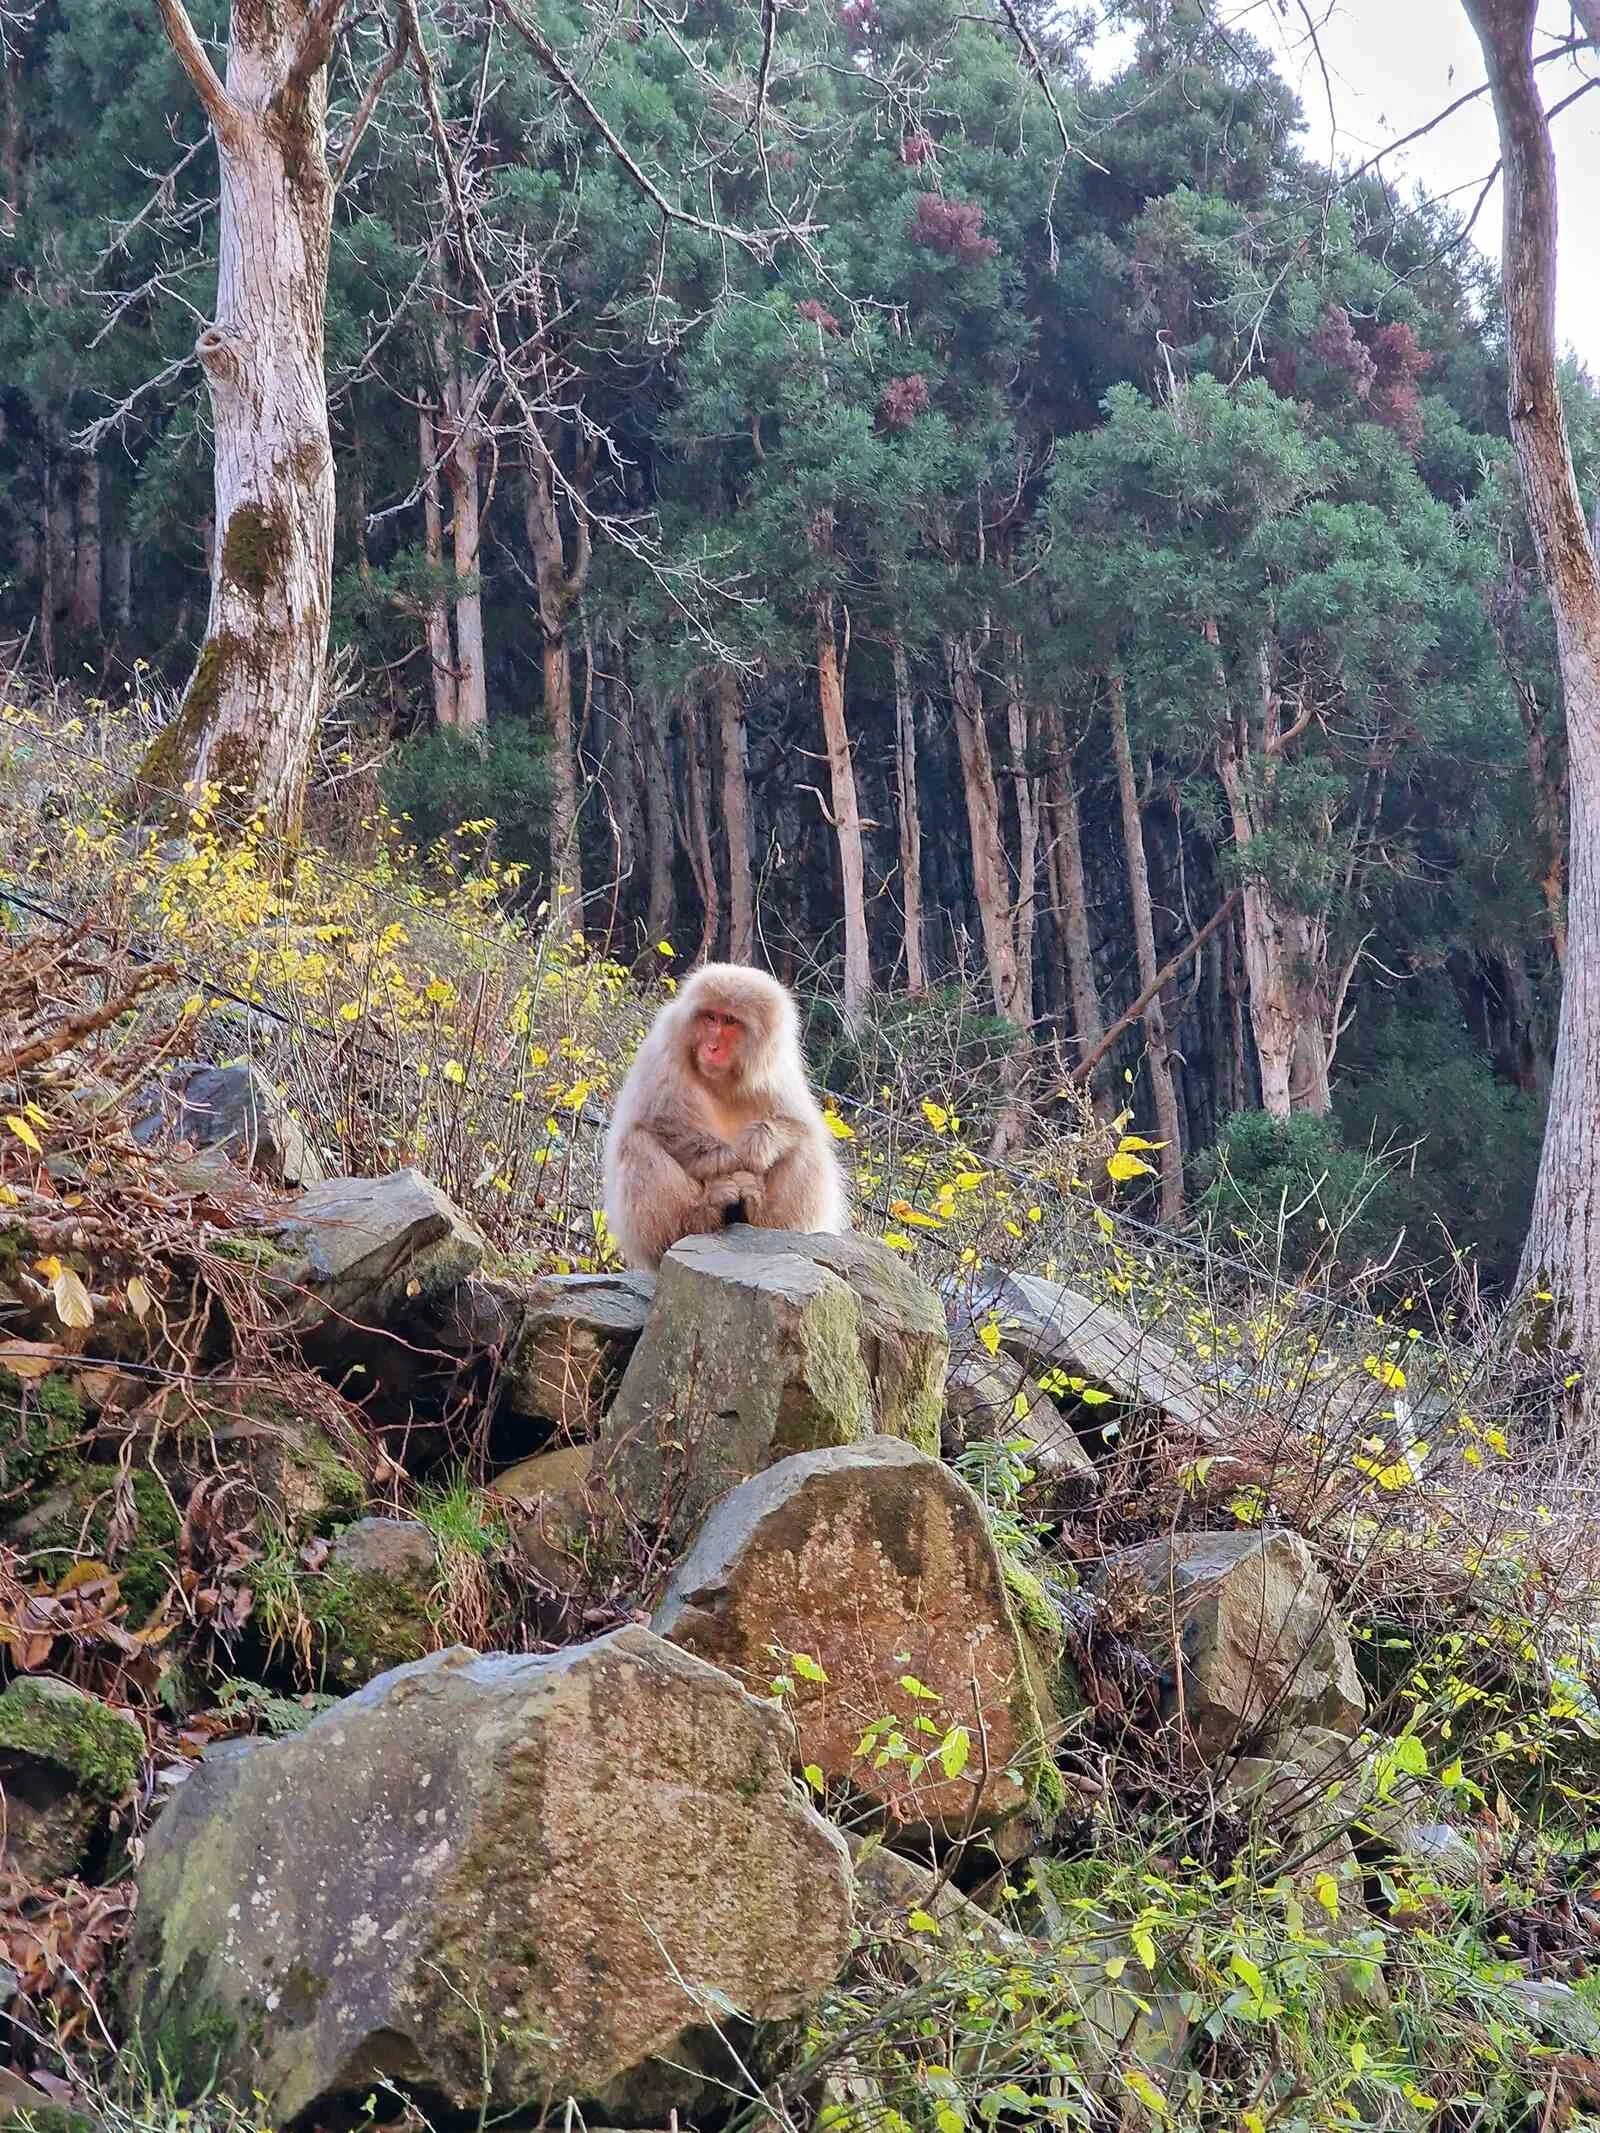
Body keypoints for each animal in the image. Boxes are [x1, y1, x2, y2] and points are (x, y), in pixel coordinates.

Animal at [602, 963, 848, 1270]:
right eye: (710, 1017)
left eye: (729, 1020)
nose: (712, 1047)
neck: (725, 1081)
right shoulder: (666, 1043)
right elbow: (659, 1120)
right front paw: (732, 1157)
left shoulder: (777, 1066)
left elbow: (796, 1123)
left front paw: (757, 1145)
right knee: (637, 1142)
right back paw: (696, 1218)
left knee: (806, 1146)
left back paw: (766, 1216)